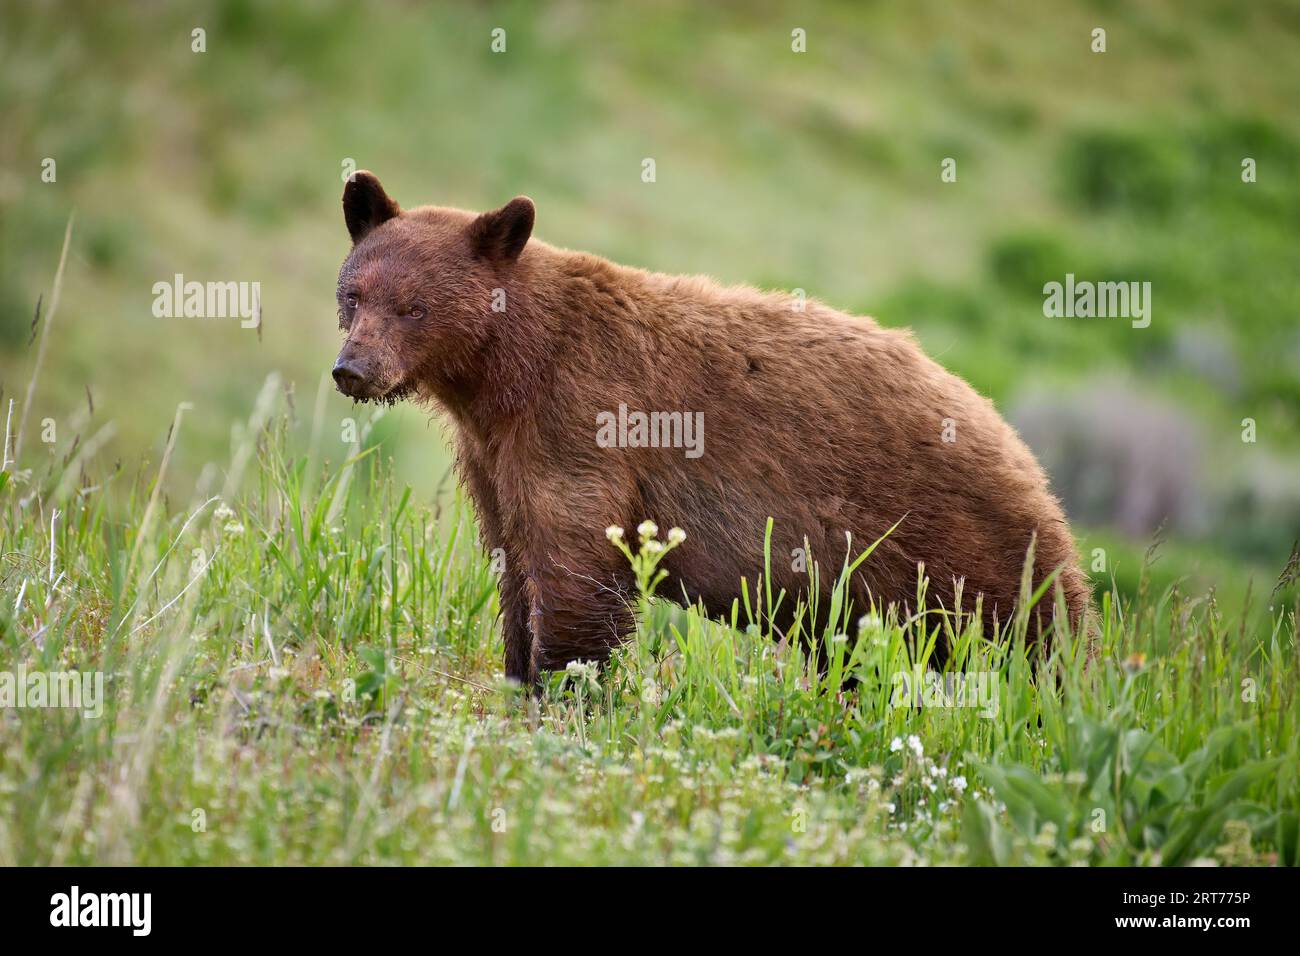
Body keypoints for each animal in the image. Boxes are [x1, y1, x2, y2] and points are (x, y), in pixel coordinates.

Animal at [331, 171, 1092, 685]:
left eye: (415, 307)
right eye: (353, 294)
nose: (353, 369)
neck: (506, 372)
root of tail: (1024, 455)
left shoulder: (583, 422)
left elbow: (578, 561)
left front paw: (564, 683)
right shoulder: (493, 452)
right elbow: (513, 557)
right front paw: (520, 671)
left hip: (959, 542)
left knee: (1031, 643)